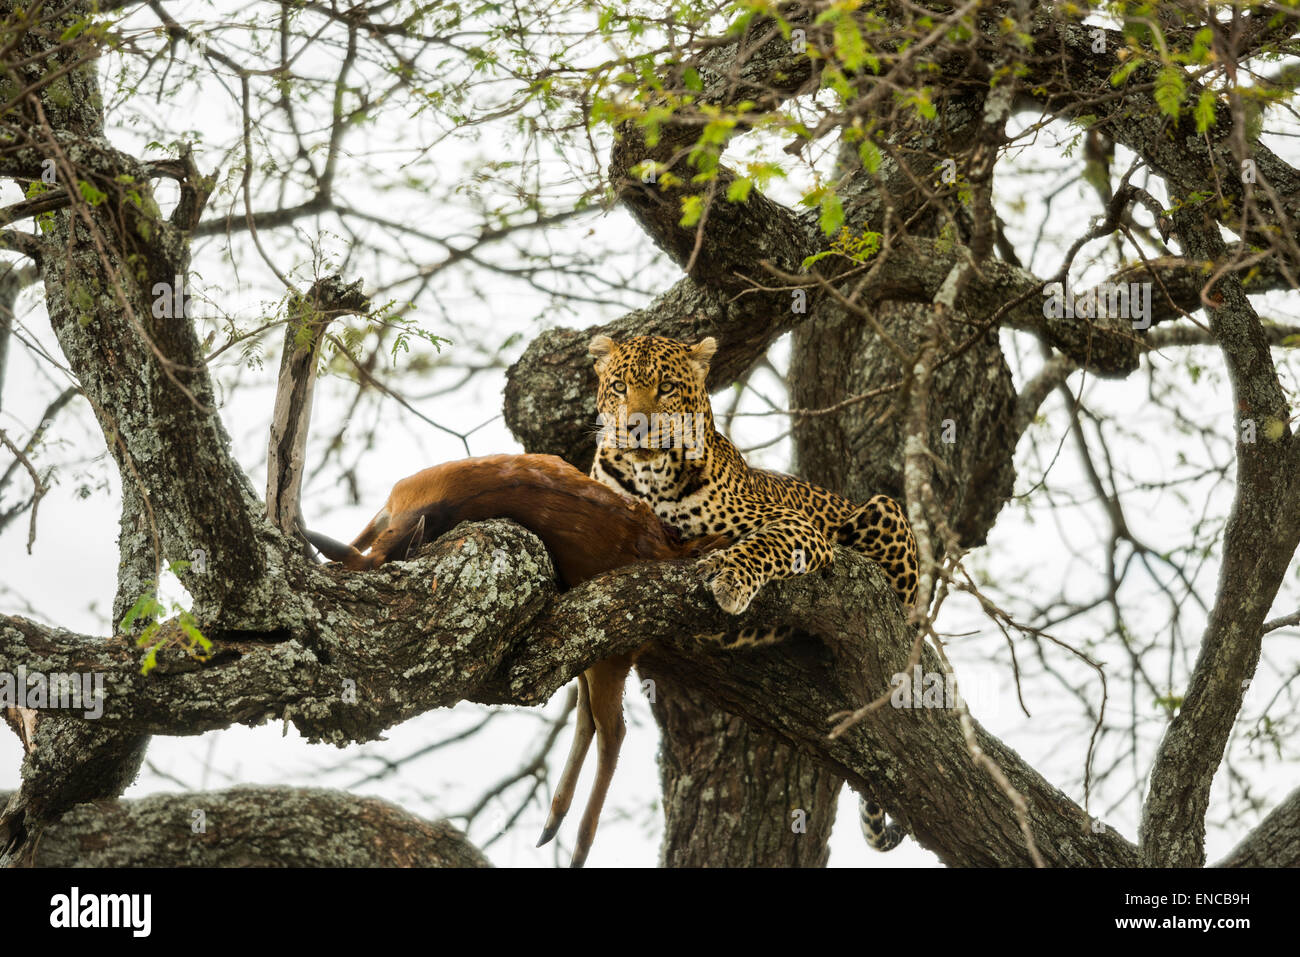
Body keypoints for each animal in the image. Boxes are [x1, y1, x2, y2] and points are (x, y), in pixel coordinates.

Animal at [586, 333, 920, 853]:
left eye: (666, 387)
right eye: (619, 386)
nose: (637, 427)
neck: (649, 480)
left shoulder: (796, 526)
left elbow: (762, 544)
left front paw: (728, 577)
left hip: (885, 512)